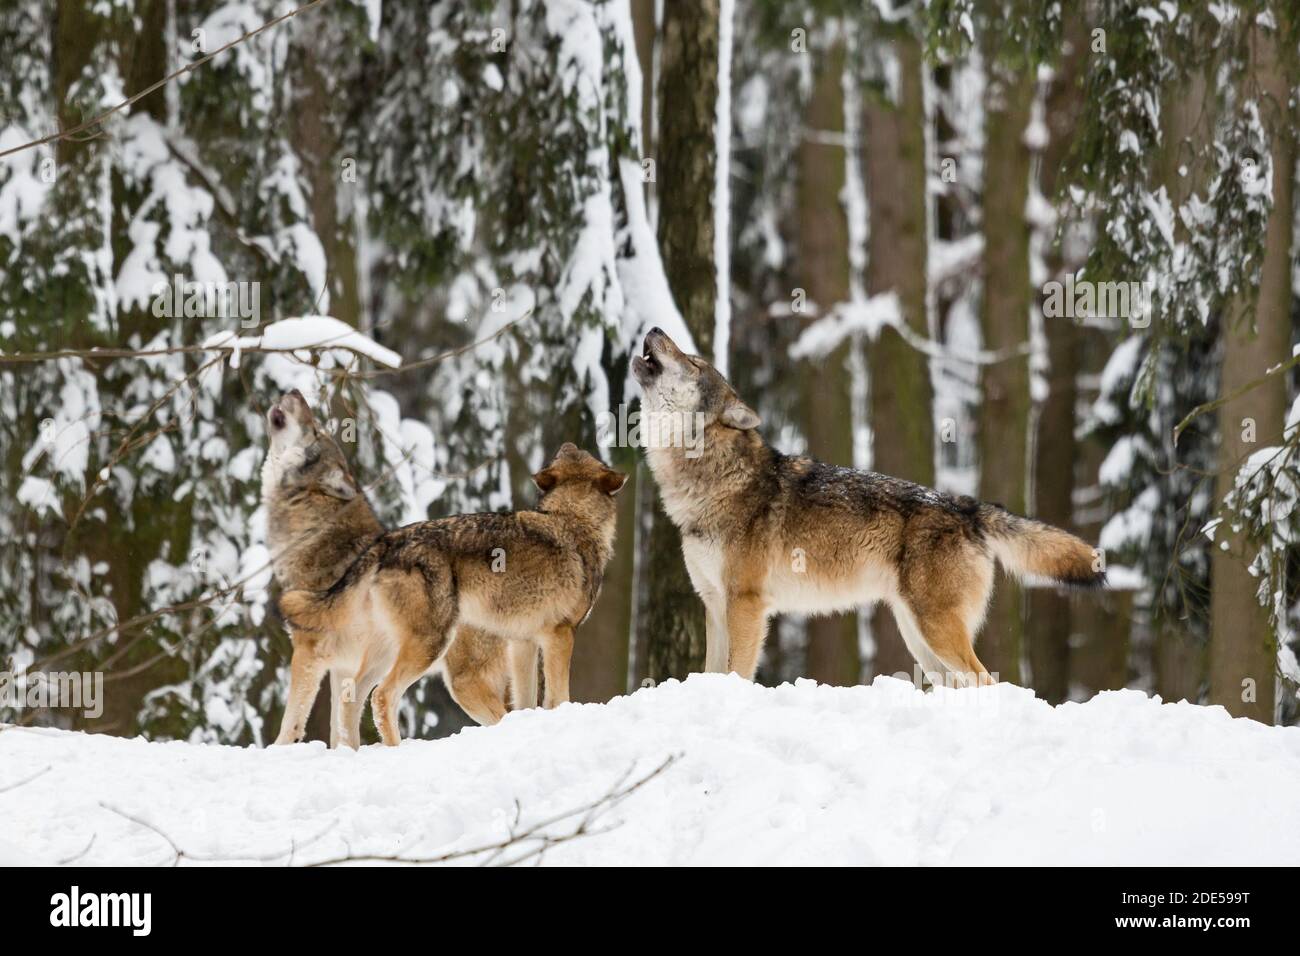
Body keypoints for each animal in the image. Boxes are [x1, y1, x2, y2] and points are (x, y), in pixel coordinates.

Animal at [262, 390, 533, 746]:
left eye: (316, 431)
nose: (293, 392)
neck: (312, 531)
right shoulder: (343, 668)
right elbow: (341, 730)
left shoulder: (309, 651)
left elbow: (291, 724)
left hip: (460, 682)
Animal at [277, 436, 626, 746]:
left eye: (572, 452)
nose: (567, 443)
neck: (573, 518)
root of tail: (388, 541)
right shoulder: (560, 635)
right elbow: (557, 697)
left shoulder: (522, 643)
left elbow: (525, 702)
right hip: (431, 646)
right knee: (383, 696)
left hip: (387, 652)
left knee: (352, 698)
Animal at [631, 328, 1104, 686]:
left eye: (693, 362)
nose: (653, 329)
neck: (713, 479)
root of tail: (968, 506)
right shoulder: (713, 605)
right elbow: (712, 672)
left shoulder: (745, 604)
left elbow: (736, 674)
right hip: (919, 635)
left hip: (935, 630)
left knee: (986, 681)